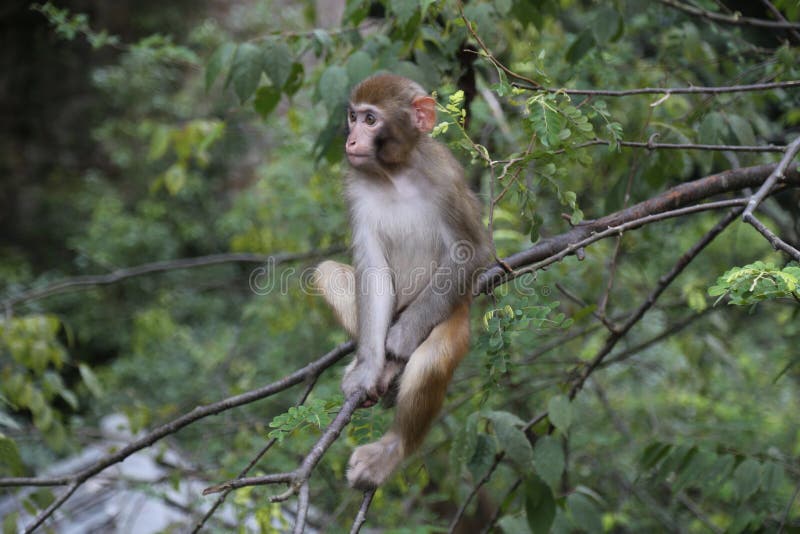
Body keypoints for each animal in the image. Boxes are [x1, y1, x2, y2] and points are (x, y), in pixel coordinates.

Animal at [314, 74, 490, 490]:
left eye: (371, 120)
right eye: (353, 117)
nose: (351, 140)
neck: (395, 174)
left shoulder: (446, 177)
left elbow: (472, 251)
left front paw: (400, 341)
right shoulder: (355, 186)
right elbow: (373, 271)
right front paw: (369, 368)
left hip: (453, 314)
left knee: (433, 360)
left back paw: (391, 449)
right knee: (328, 273)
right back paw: (380, 371)